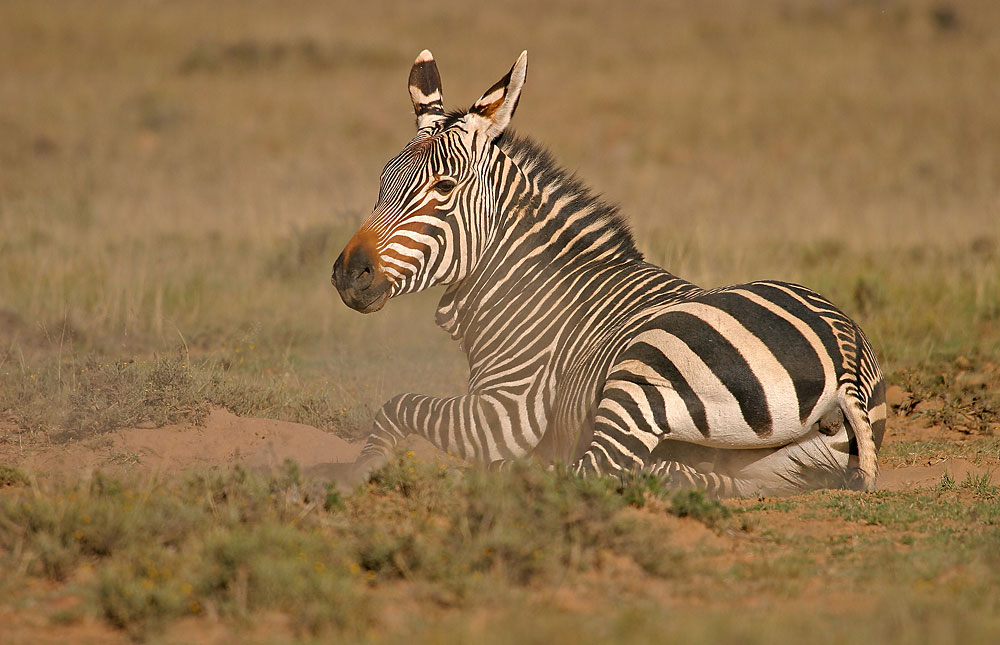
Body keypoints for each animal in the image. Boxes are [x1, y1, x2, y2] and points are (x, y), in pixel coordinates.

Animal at [332, 50, 886, 497]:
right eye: (383, 181)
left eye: (444, 188)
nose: (347, 274)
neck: (522, 284)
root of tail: (845, 352)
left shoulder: (508, 412)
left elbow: (397, 405)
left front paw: (365, 470)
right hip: (769, 468)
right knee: (698, 479)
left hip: (644, 370)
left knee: (592, 471)